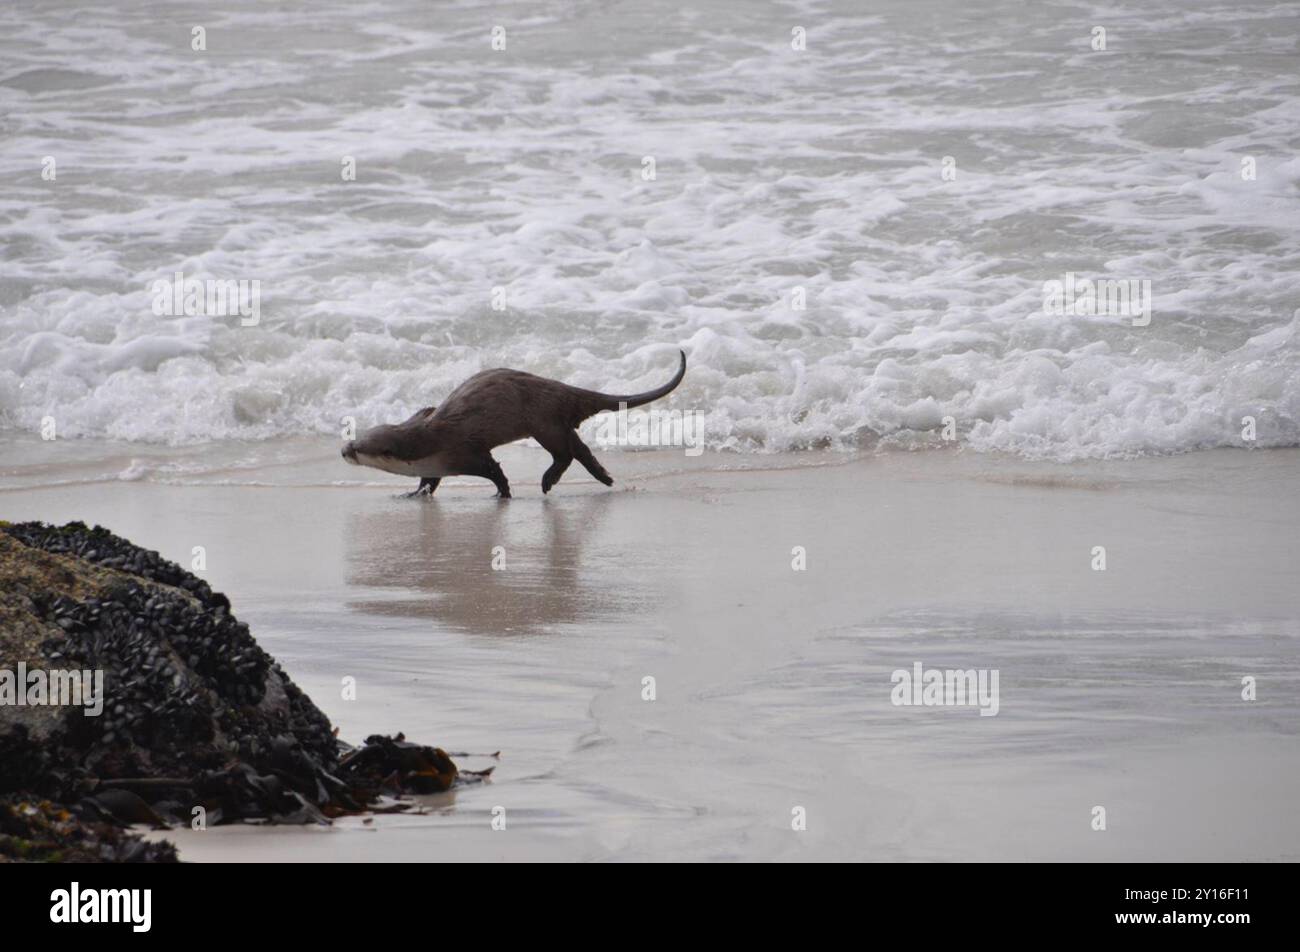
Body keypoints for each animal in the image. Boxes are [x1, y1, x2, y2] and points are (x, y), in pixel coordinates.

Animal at [342, 350, 686, 498]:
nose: (343, 449)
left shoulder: (464, 453)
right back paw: (604, 477)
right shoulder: (433, 463)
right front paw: (413, 494)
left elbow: (494, 471)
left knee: (566, 453)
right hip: (554, 424)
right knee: (580, 448)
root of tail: (558, 389)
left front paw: (502, 494)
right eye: (353, 435)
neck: (428, 446)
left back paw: (550, 481)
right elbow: (428, 482)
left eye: (359, 447)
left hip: (544, 422)